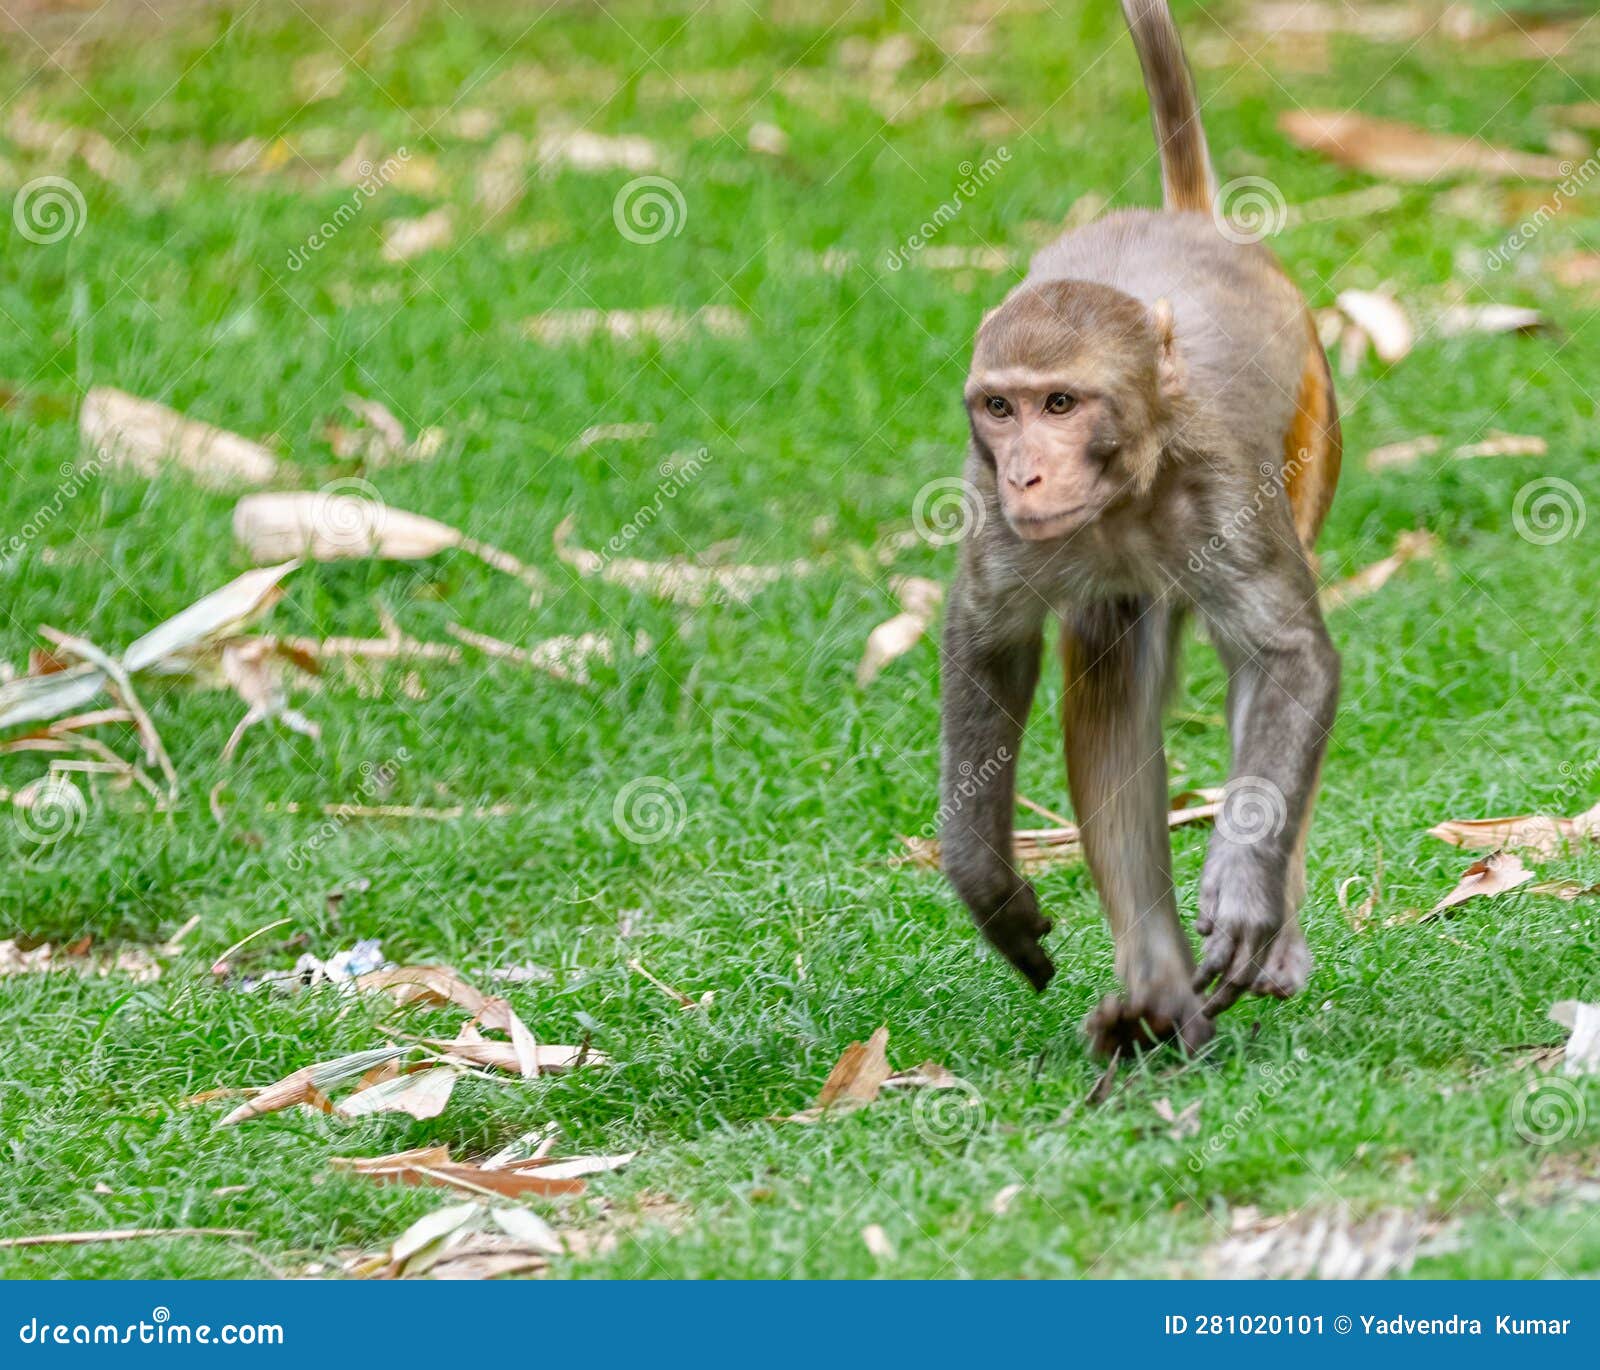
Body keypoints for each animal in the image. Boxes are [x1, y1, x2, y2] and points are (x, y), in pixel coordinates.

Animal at [938, 0, 1341, 1056]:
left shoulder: (1227, 492)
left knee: (1247, 663)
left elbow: (1291, 660)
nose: (1029, 471)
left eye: (1061, 401)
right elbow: (988, 644)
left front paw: (1243, 893)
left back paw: (1260, 939)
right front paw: (984, 878)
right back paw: (1155, 999)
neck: (1129, 489)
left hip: (1311, 428)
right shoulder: (995, 516)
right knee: (1113, 664)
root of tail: (1188, 220)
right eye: (1000, 408)